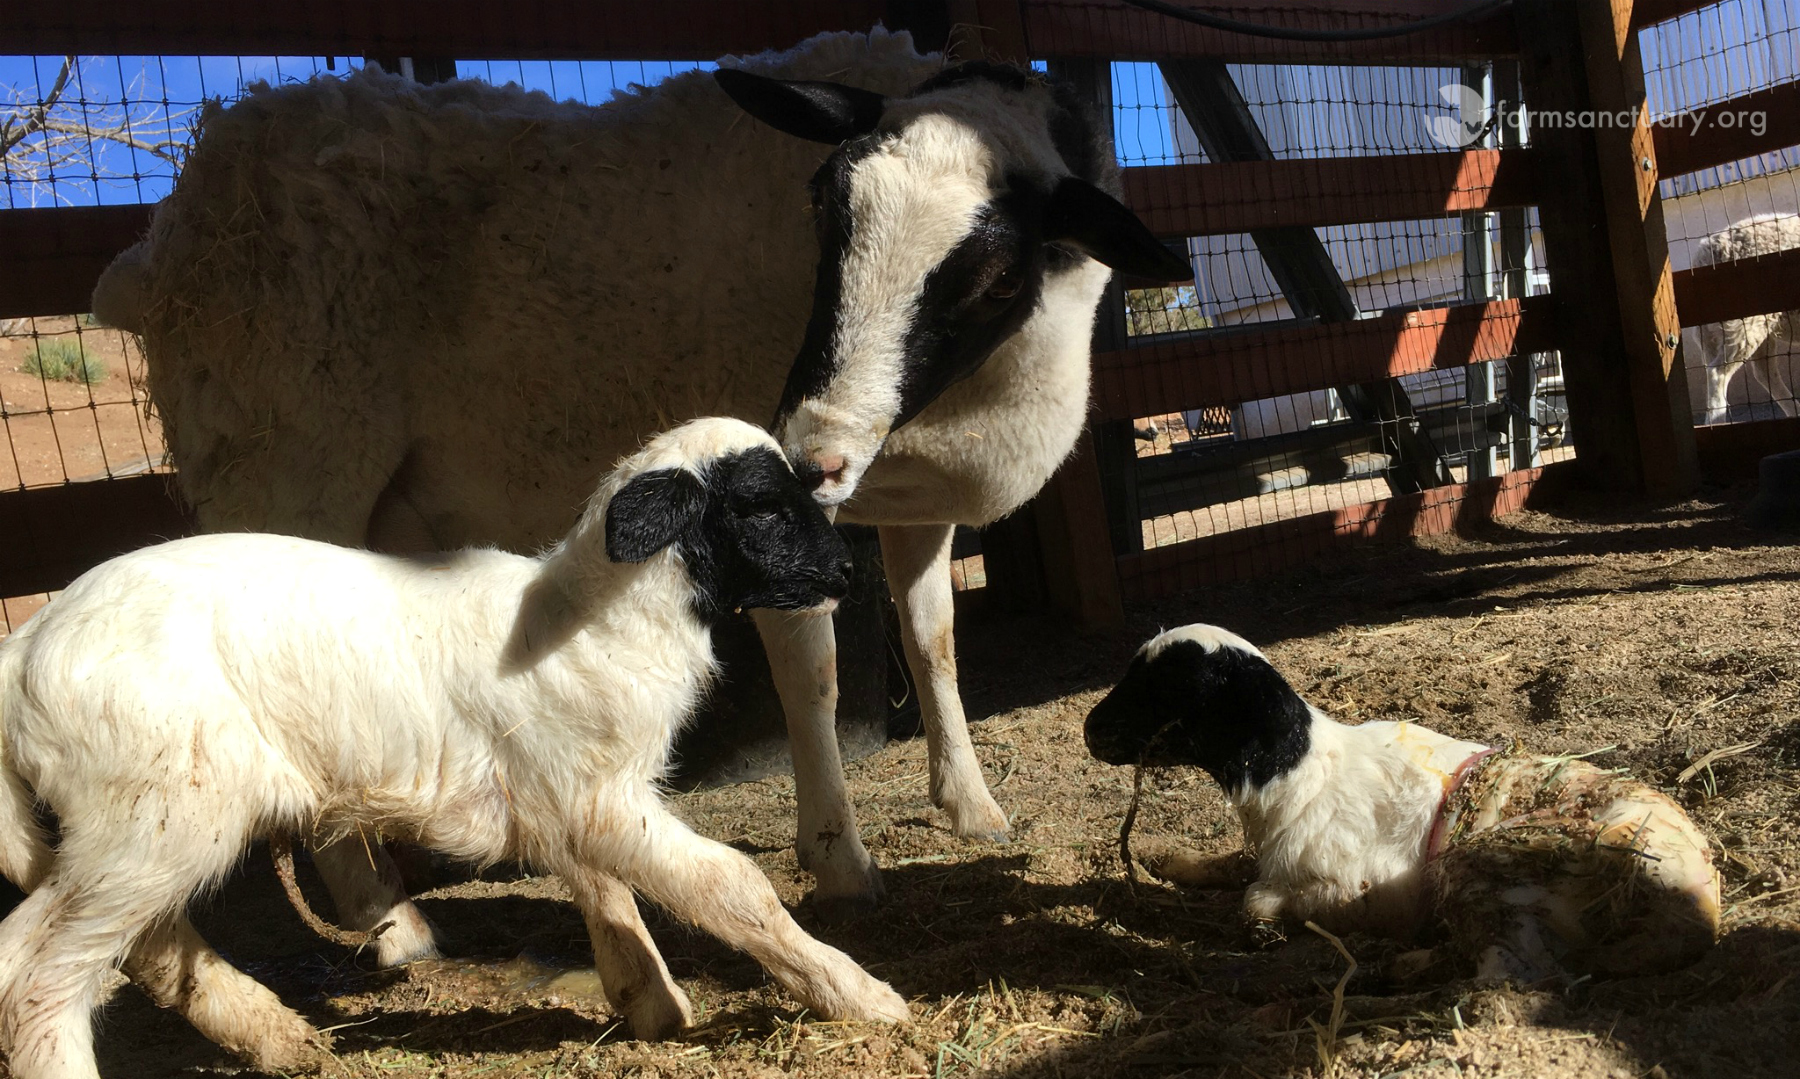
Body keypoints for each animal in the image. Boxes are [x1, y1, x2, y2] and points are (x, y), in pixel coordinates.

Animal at [0, 417, 909, 1079]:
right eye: (760, 504)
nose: (846, 572)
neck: (593, 619)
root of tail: (28, 643)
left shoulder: (564, 788)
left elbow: (602, 886)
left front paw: (647, 998)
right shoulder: (599, 796)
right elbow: (732, 884)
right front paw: (861, 992)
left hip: (131, 826)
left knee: (85, 945)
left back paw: (272, 1032)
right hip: (158, 811)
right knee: (40, 975)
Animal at [91, 27, 1192, 946]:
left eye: (996, 273)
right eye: (820, 210)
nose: (810, 447)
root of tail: (166, 228)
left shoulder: (911, 499)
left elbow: (934, 639)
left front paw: (970, 806)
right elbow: (815, 673)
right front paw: (840, 861)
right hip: (282, 463)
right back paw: (390, 926)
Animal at [1085, 625, 1721, 981]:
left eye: (1169, 684)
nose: (1089, 730)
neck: (1302, 774)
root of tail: (1697, 907)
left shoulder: (1361, 890)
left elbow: (1254, 902)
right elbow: (1232, 867)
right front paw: (1162, 858)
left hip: (1487, 876)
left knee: (1508, 974)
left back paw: (1382, 969)